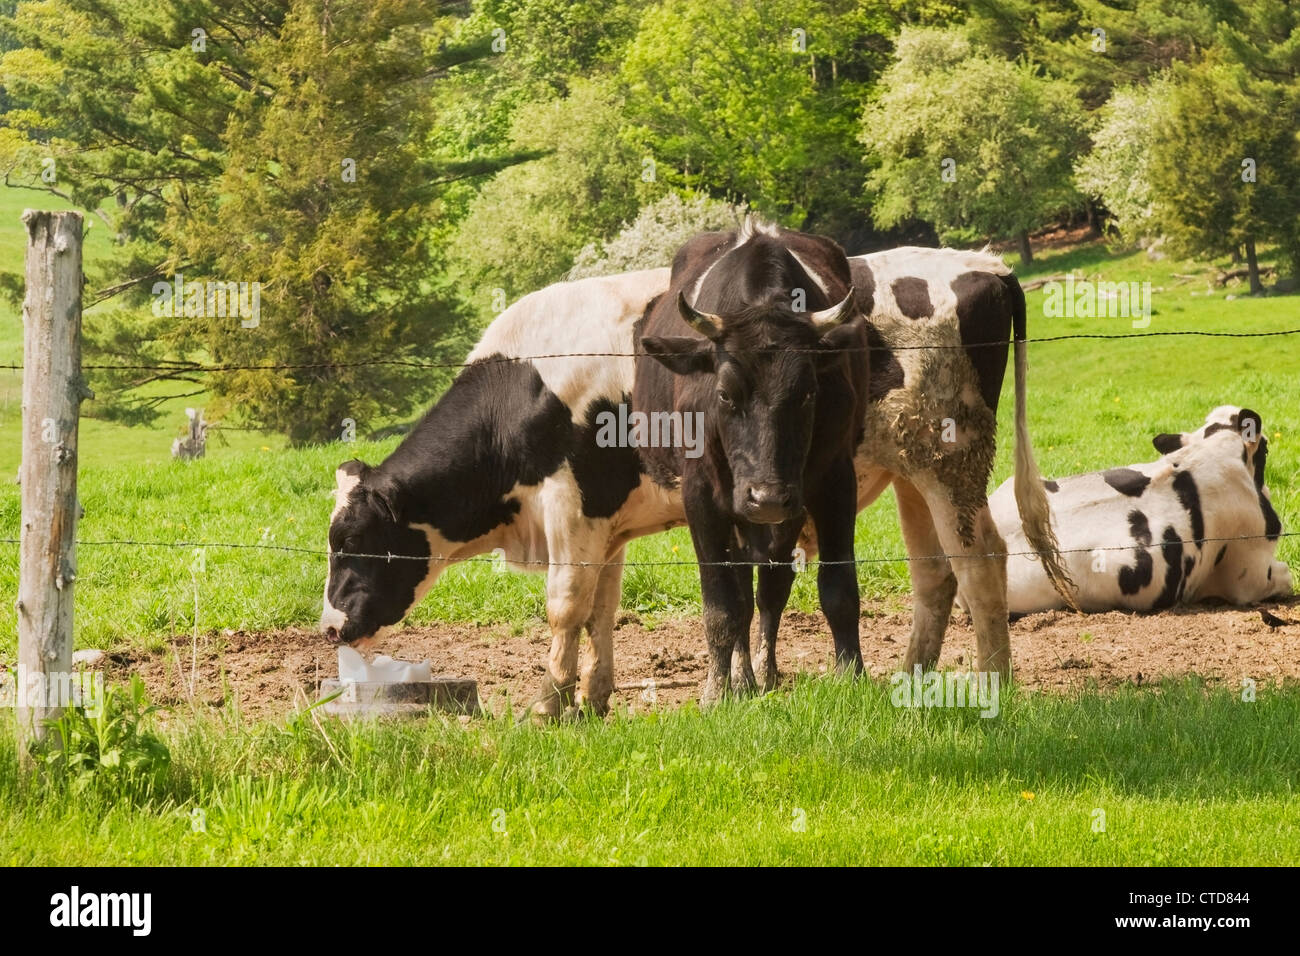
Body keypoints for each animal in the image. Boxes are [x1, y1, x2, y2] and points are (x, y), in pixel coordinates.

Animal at [633, 220, 867, 704]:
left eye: (809, 392)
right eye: (725, 394)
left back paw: (764, 670)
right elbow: (722, 602)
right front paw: (718, 690)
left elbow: (836, 590)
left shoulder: (833, 479)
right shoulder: (701, 494)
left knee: (769, 590)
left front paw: (852, 676)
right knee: (741, 589)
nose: (767, 496)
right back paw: (740, 678)